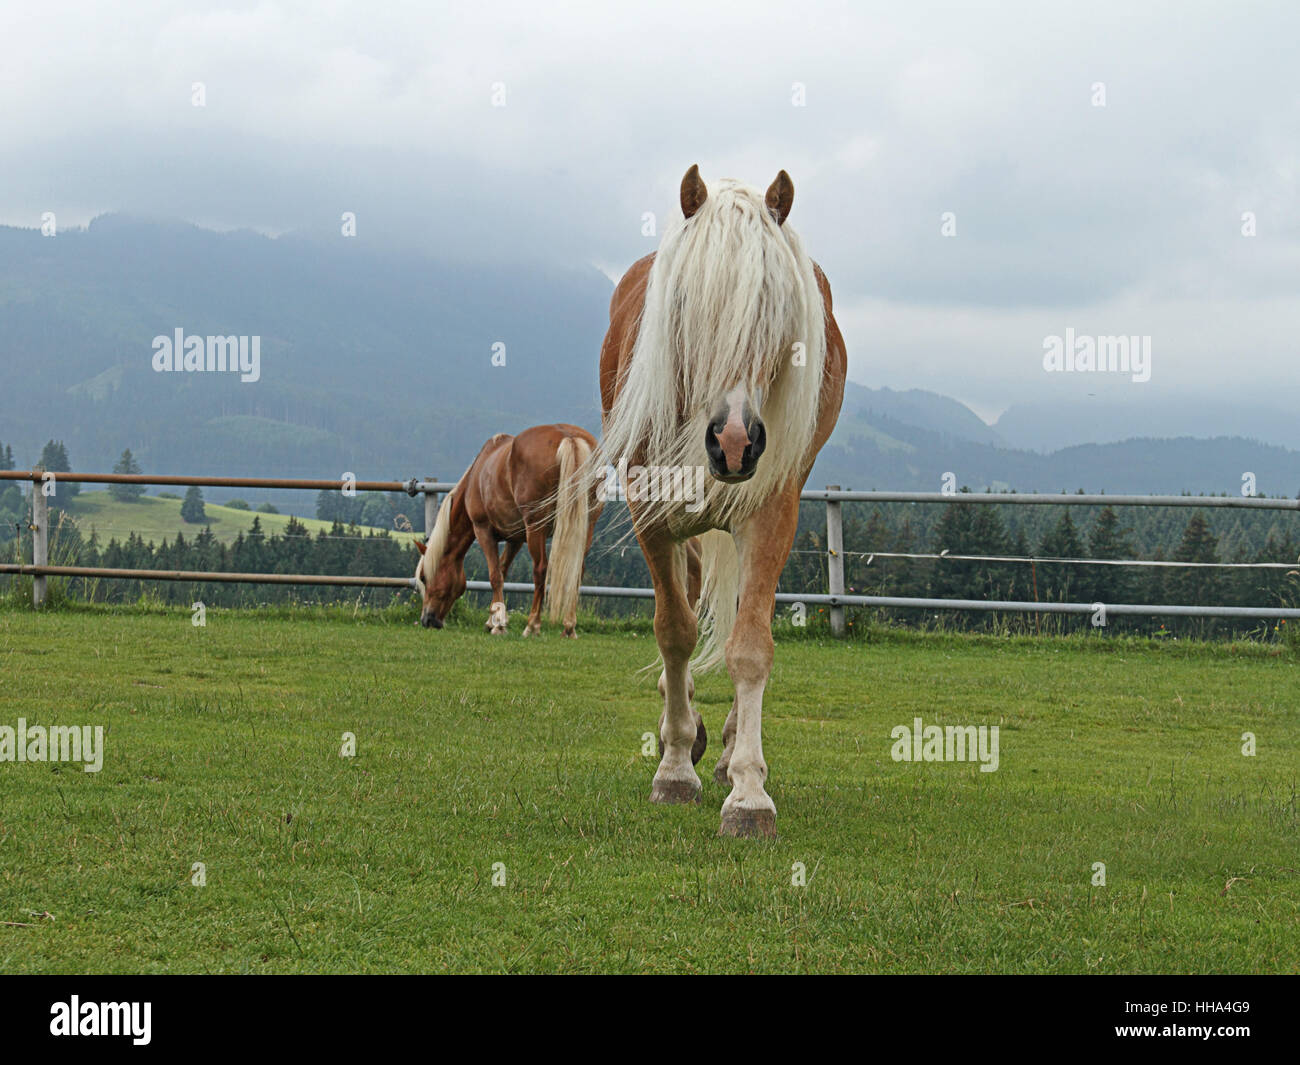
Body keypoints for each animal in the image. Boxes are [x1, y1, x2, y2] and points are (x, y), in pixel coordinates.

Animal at [414, 424, 602, 637]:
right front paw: (492, 620)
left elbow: (495, 576)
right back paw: (569, 627)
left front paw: (499, 626)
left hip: (536, 528)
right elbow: (502, 570)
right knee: (577, 570)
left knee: (540, 570)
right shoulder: (515, 539)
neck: (476, 476)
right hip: (586, 527)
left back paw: (532, 625)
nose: (427, 620)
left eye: (424, 577)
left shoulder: (483, 531)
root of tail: (568, 437)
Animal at [598, 165, 846, 837]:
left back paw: (731, 745)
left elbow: (751, 646)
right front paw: (675, 767)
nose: (734, 441)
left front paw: (748, 793)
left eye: (777, 306)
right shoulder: (651, 510)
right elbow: (675, 630)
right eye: (684, 300)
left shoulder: (771, 512)